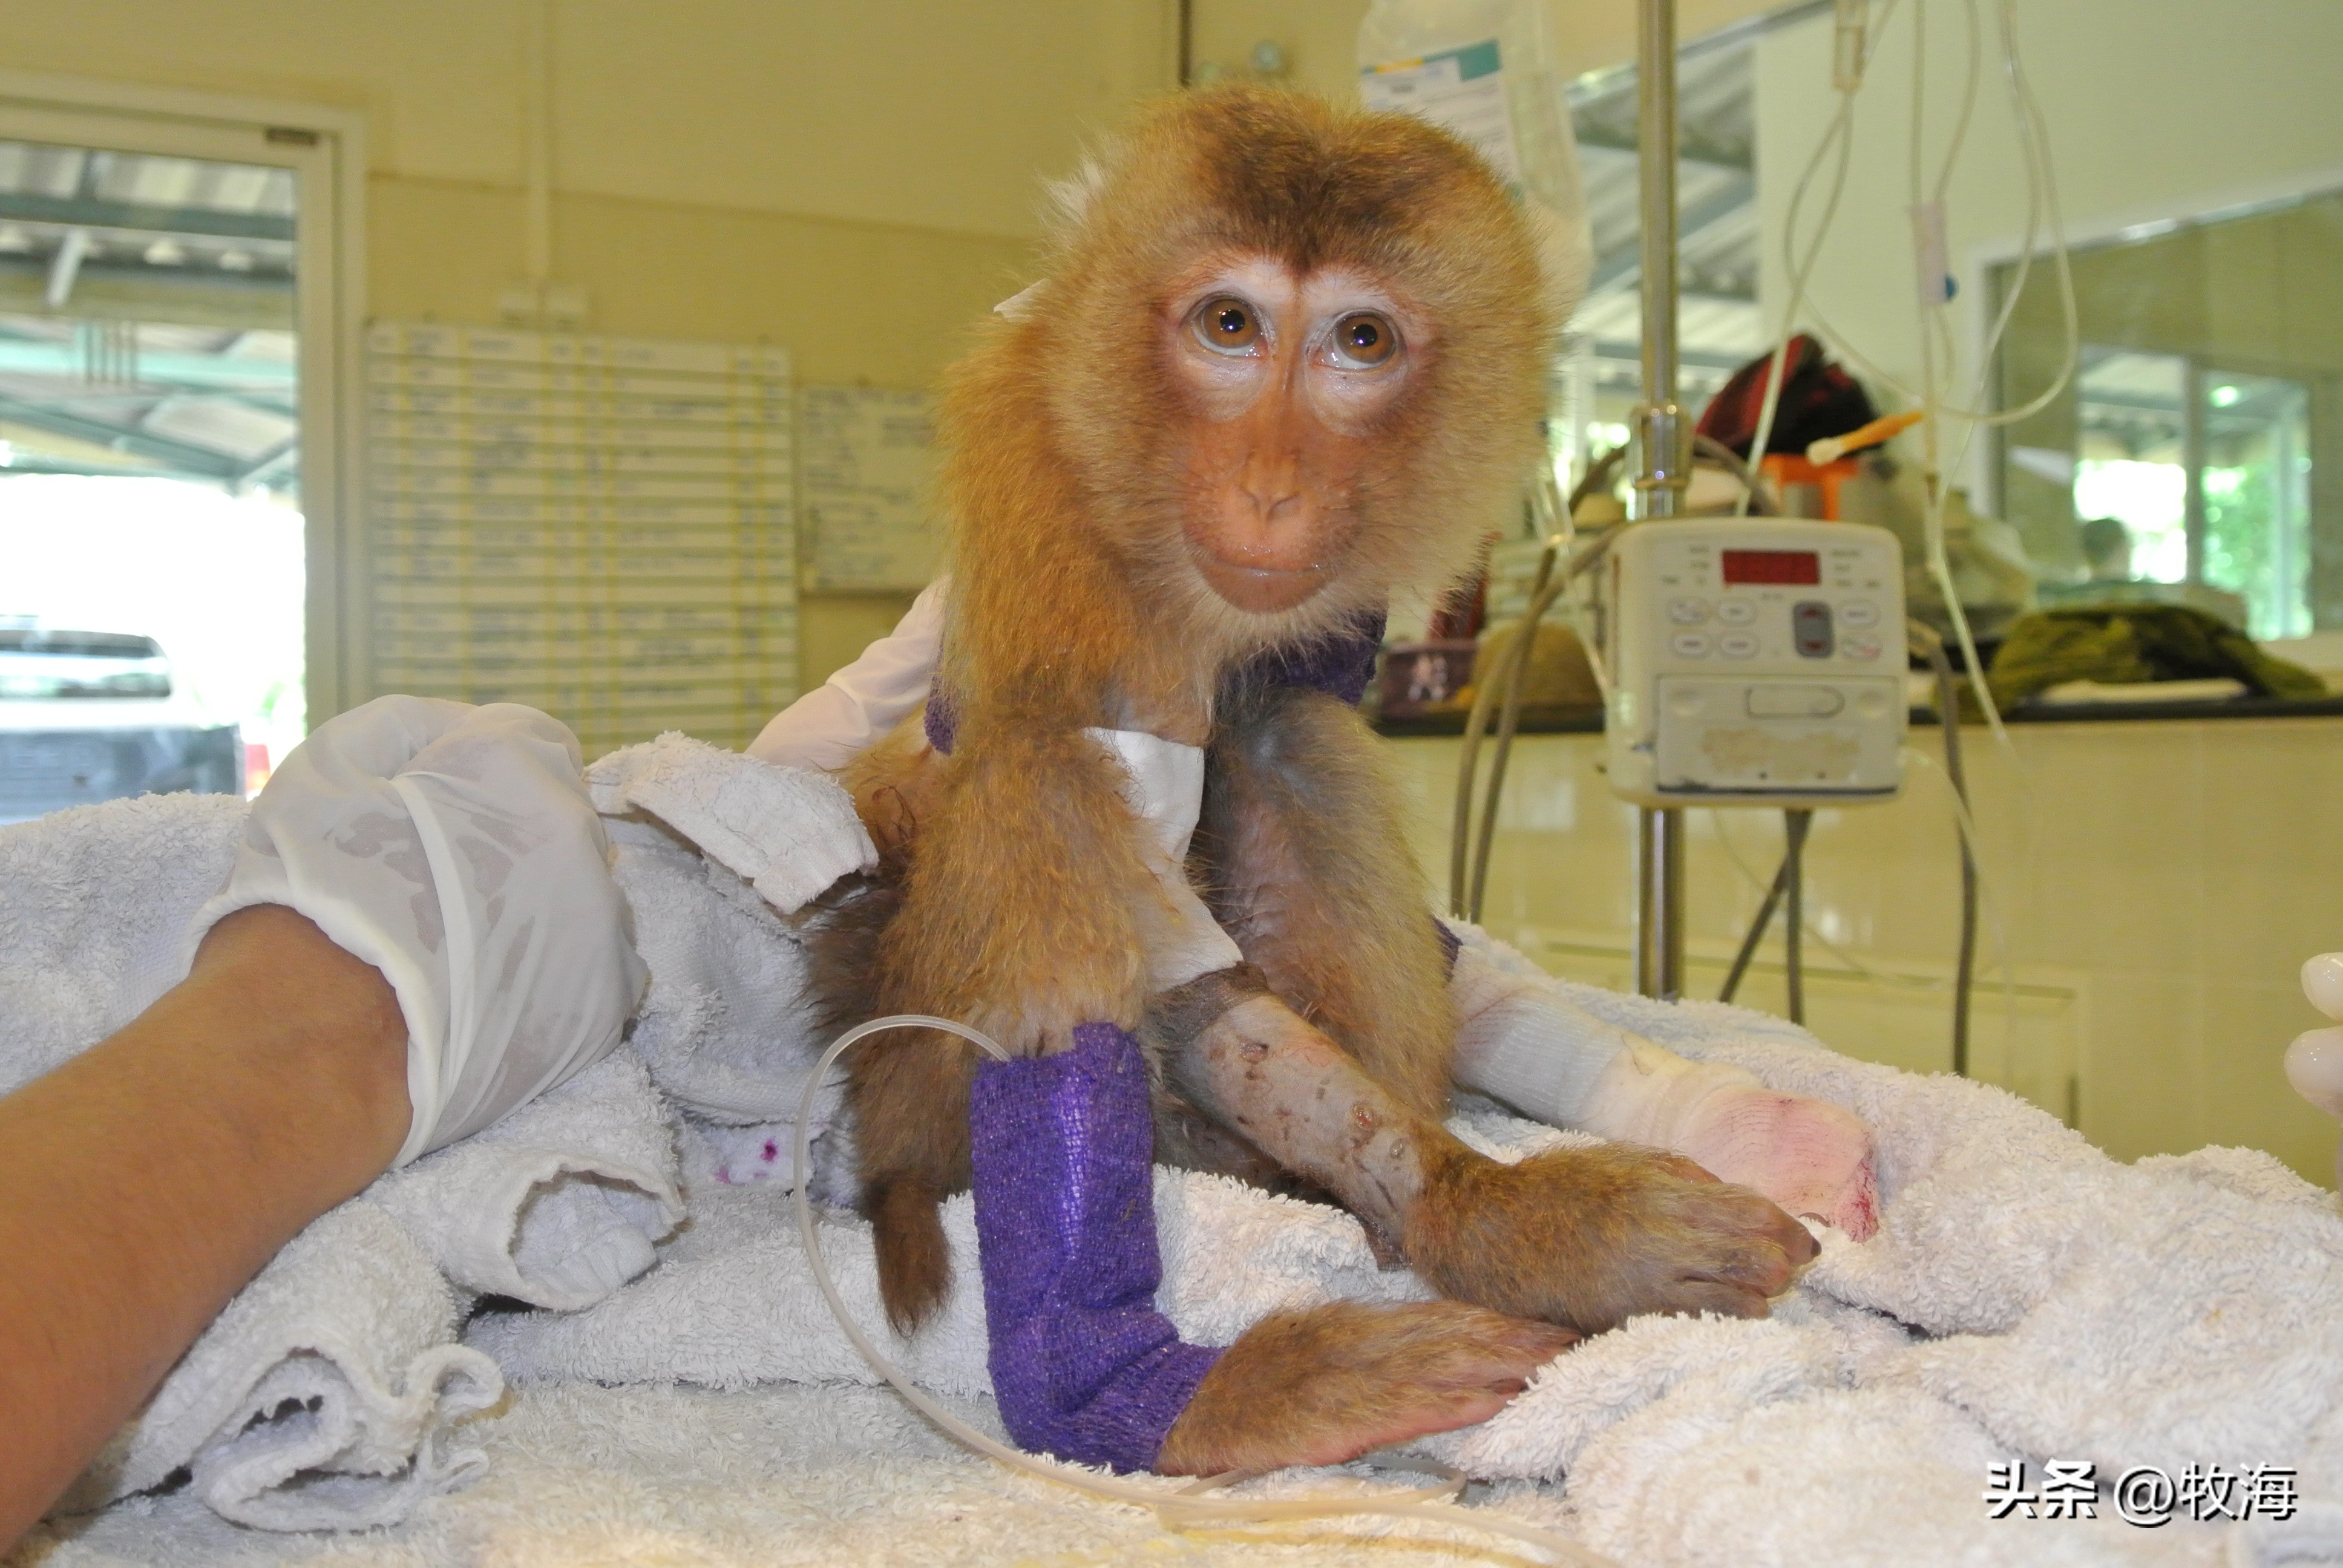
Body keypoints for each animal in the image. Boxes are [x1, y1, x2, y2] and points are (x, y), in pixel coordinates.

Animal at [807, 85, 1820, 1472]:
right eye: (1229, 325)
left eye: (1360, 340)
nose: (1272, 487)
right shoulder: (1048, 499)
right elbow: (1128, 930)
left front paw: (1502, 1205)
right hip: (915, 1072)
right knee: (1043, 813)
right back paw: (1137, 1390)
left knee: (1292, 737)